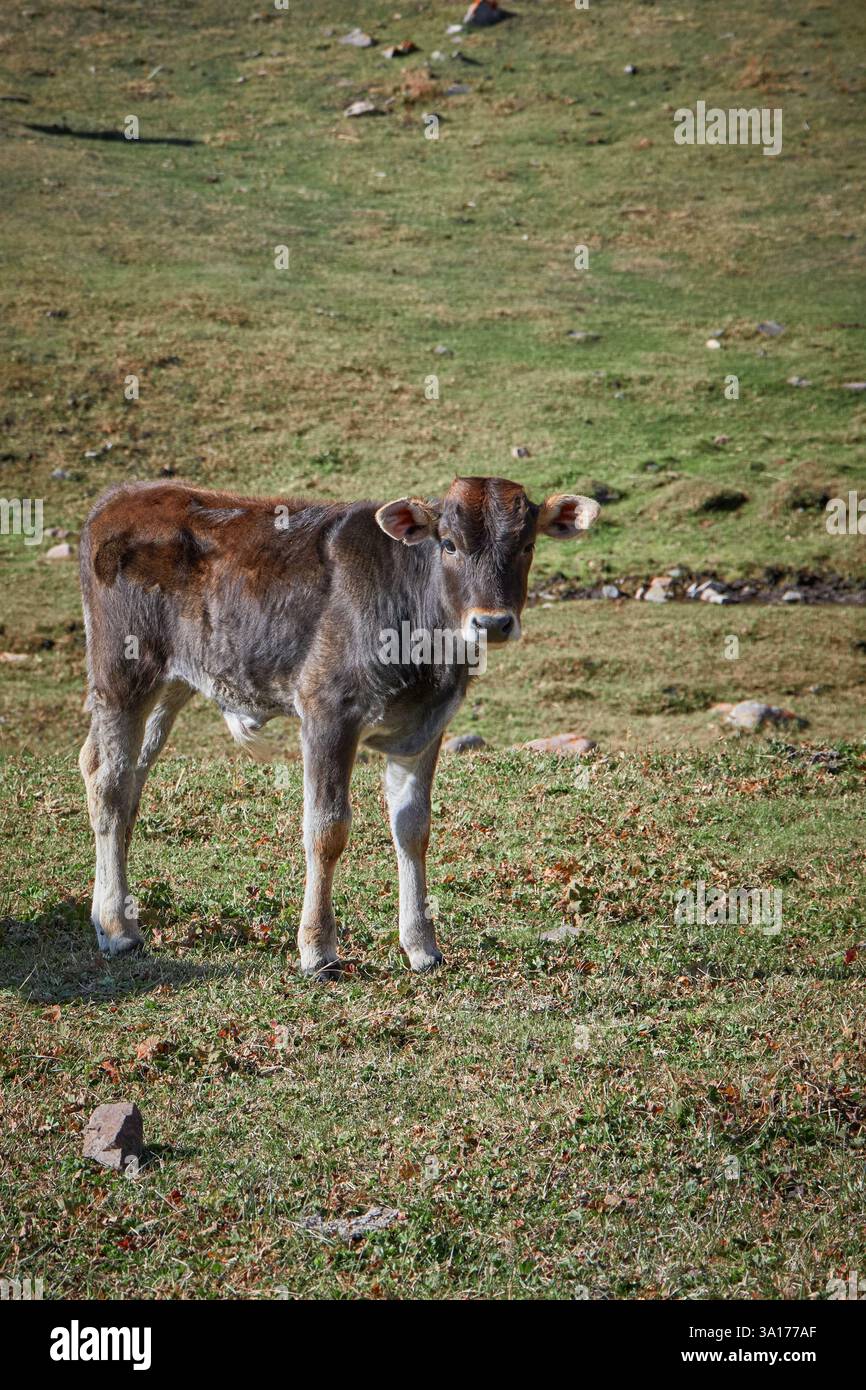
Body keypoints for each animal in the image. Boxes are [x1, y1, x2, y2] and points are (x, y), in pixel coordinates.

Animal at [78, 476, 600, 974]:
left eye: (527, 544)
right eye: (449, 544)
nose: (492, 623)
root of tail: (117, 499)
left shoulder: (425, 727)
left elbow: (413, 827)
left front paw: (421, 946)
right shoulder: (327, 711)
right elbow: (327, 830)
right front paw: (317, 949)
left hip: (172, 684)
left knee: (120, 774)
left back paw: (111, 913)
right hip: (122, 672)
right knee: (109, 782)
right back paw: (117, 928)